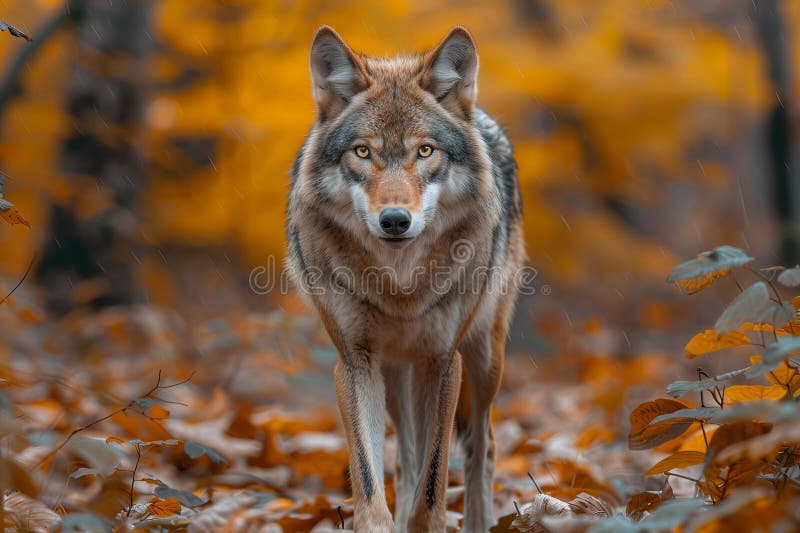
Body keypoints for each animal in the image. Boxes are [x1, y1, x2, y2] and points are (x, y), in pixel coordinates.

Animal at [286, 25, 525, 532]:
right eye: (362, 152)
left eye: (425, 151)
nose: (395, 220)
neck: (400, 287)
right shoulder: (354, 362)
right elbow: (372, 481)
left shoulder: (443, 361)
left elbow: (433, 486)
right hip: (396, 376)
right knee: (407, 459)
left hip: (484, 358)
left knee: (483, 447)